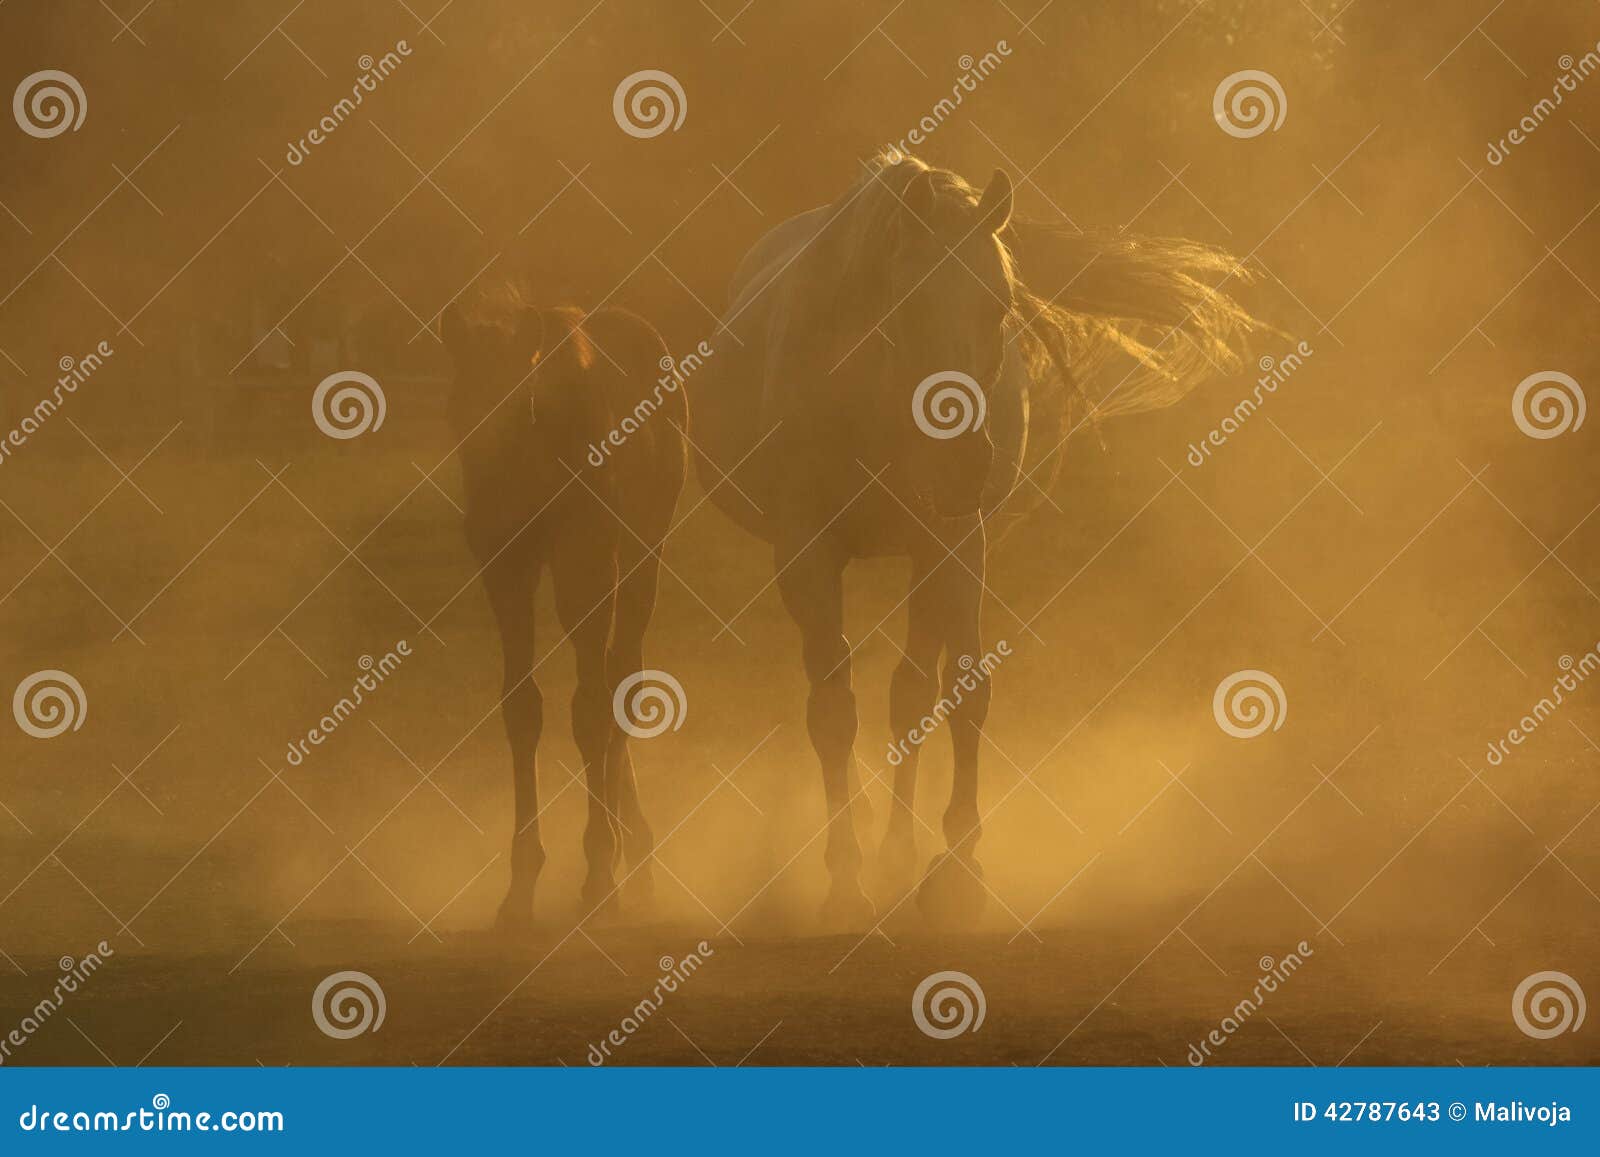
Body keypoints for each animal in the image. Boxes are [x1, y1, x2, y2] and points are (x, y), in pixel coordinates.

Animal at [441, 287, 687, 929]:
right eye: (456, 400)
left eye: (519, 405)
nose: (486, 512)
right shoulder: (508, 567)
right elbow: (522, 707)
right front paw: (521, 884)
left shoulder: (585, 558)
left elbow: (592, 708)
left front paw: (599, 870)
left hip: (642, 552)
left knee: (622, 673)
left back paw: (633, 856)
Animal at [694, 152, 1262, 929]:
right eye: (905, 309)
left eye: (998, 307)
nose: (965, 461)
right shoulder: (805, 553)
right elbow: (834, 711)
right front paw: (844, 879)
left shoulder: (957, 542)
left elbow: (962, 693)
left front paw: (959, 868)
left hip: (927, 557)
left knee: (907, 692)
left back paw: (900, 850)